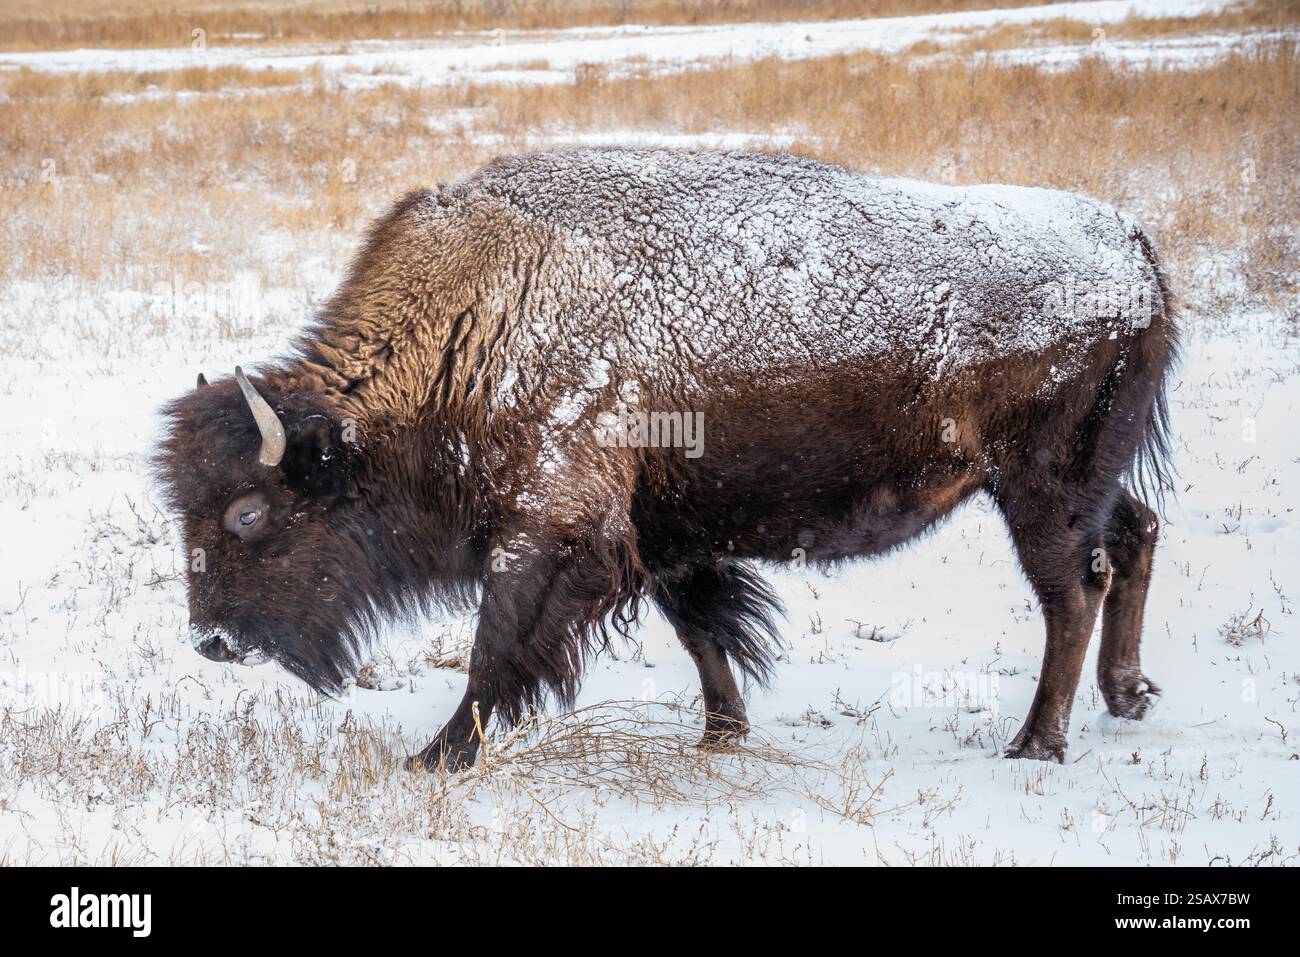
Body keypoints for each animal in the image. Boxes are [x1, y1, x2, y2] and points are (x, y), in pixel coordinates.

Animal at [157, 148, 1176, 769]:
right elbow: (702, 628)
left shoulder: (550, 532)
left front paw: (435, 757)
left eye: (249, 512)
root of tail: (1129, 243)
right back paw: (1128, 697)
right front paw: (723, 733)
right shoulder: (661, 531)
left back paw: (1037, 742)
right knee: (1135, 535)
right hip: (1091, 475)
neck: (478, 322)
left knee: (1071, 589)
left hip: (1038, 487)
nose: (213, 641)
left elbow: (497, 650)